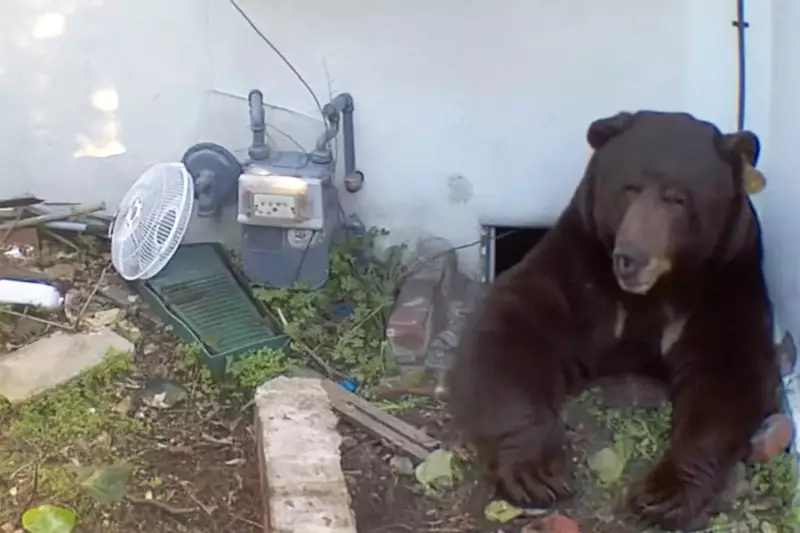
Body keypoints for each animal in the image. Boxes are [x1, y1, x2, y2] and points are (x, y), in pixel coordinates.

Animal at [445, 110, 782, 531]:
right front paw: (537, 472)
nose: (631, 258)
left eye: (678, 198)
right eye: (629, 189)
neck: (656, 291)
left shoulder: (727, 281)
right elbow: (510, 330)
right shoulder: (578, 269)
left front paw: (663, 494)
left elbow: (728, 376)